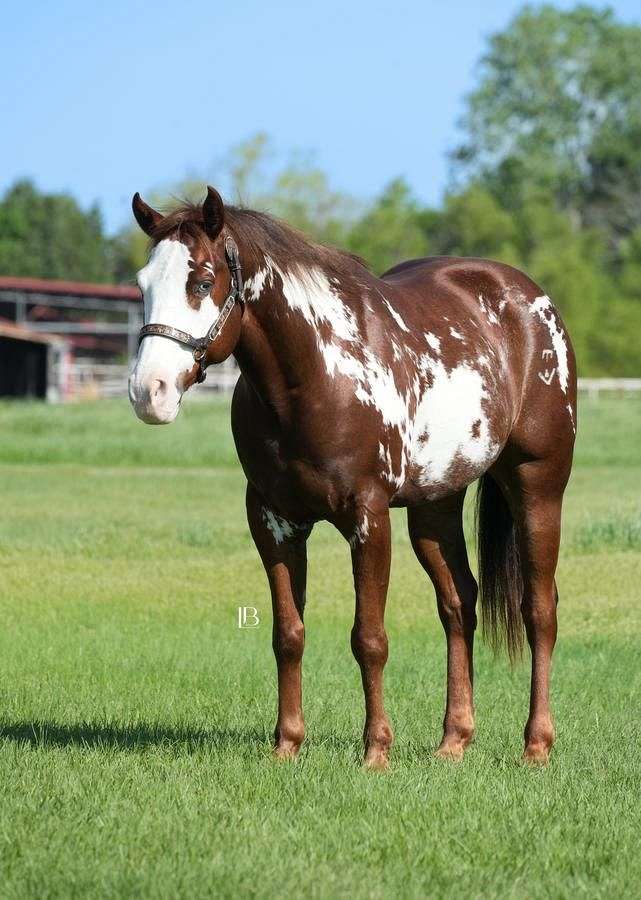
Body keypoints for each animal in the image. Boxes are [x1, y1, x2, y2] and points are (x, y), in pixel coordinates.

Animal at [128, 186, 576, 769]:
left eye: (202, 281)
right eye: (142, 285)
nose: (148, 392)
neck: (314, 377)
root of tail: (529, 299)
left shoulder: (368, 516)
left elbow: (370, 638)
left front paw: (376, 751)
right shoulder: (273, 520)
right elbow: (288, 634)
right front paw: (287, 745)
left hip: (538, 486)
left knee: (539, 609)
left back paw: (536, 745)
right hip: (435, 508)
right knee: (459, 605)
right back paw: (453, 741)